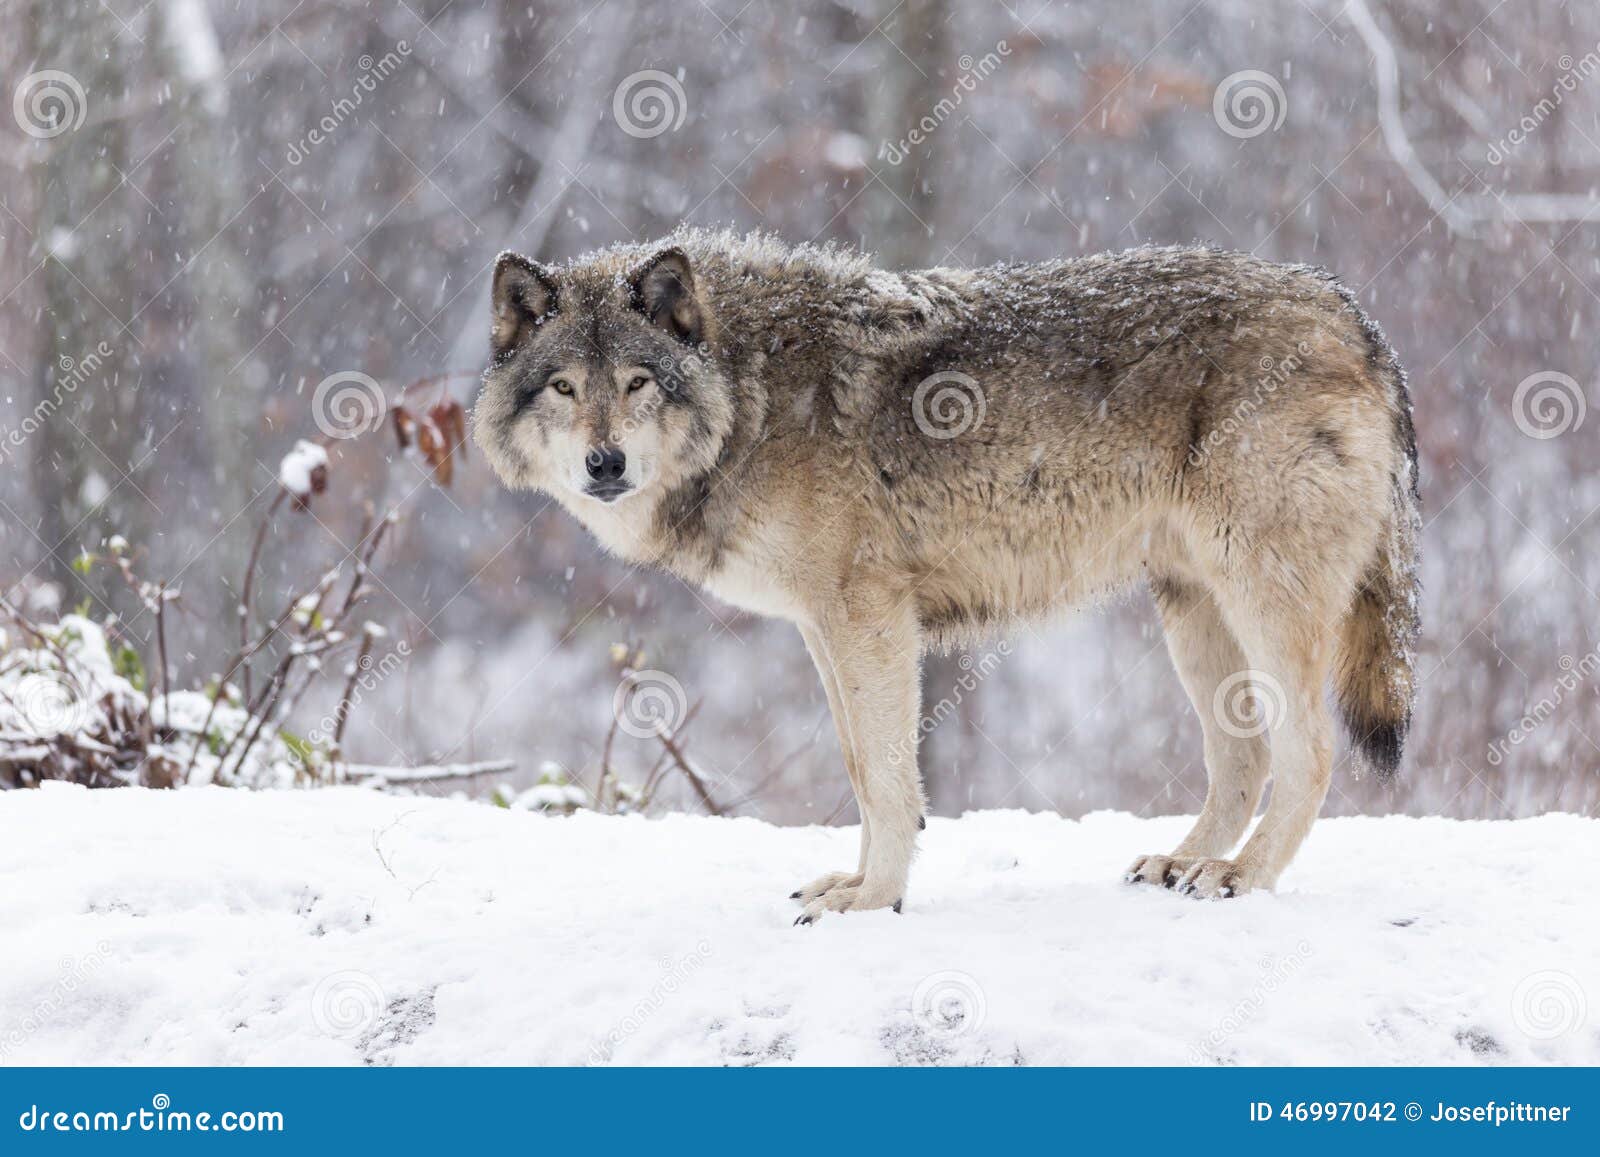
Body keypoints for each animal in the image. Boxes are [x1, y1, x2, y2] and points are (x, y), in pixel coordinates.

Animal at [472, 229, 1420, 923]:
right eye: (563, 387)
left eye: (638, 381)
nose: (604, 464)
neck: (752, 397)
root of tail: (1355, 313)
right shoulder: (823, 627)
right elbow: (862, 770)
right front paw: (856, 883)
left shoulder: (870, 618)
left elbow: (891, 781)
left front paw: (876, 900)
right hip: (1193, 610)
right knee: (1243, 756)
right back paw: (1186, 861)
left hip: (1261, 600)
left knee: (1309, 751)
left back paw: (1240, 875)